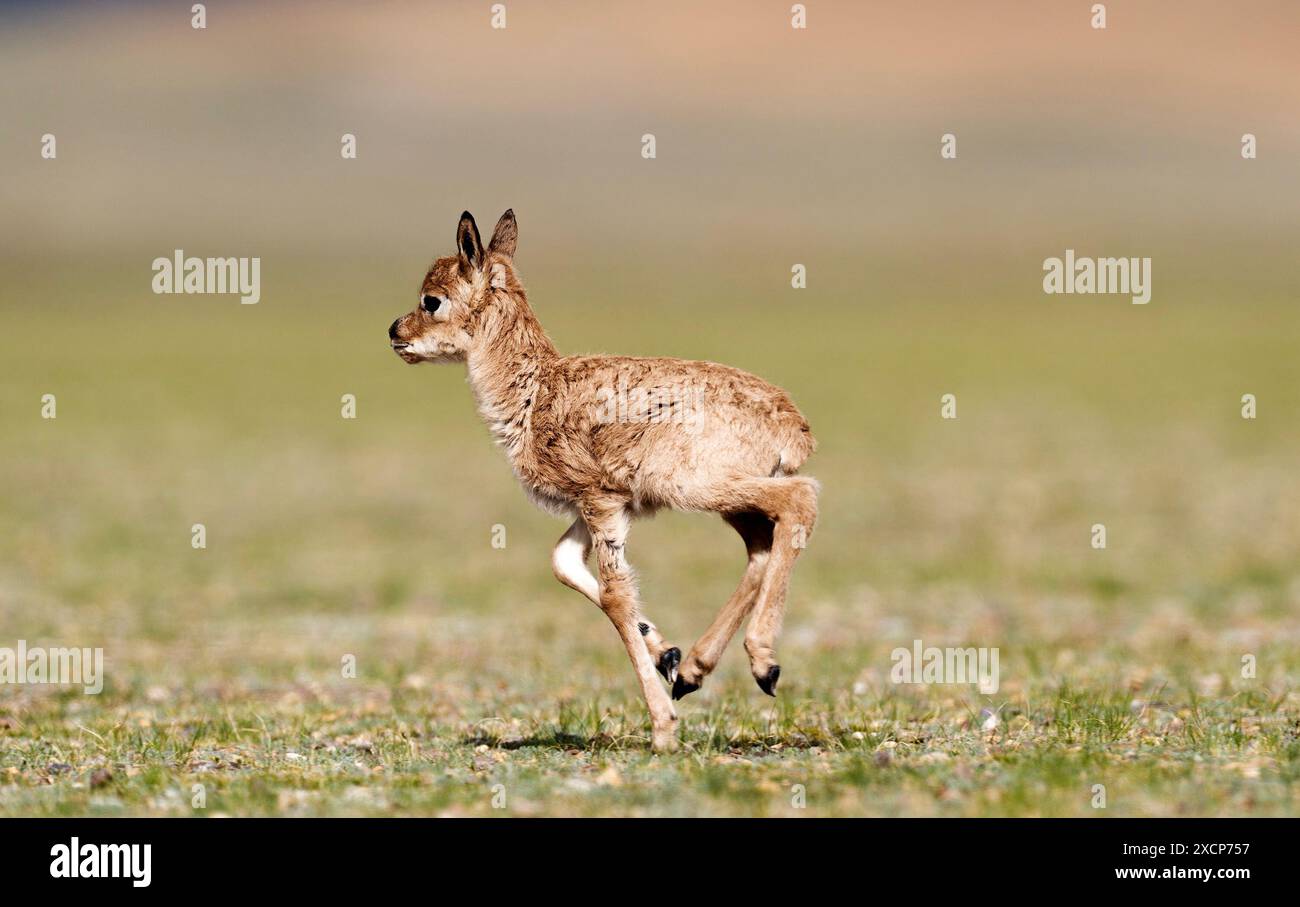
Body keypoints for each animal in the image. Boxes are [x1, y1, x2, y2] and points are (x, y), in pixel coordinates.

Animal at [388, 211, 818, 752]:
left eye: (432, 299)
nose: (394, 331)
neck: (537, 391)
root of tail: (794, 425)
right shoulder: (604, 507)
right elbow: (563, 563)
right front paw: (666, 654)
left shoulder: (600, 501)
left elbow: (614, 594)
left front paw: (662, 728)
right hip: (729, 503)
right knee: (762, 544)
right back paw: (695, 670)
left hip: (706, 489)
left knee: (800, 501)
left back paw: (763, 663)